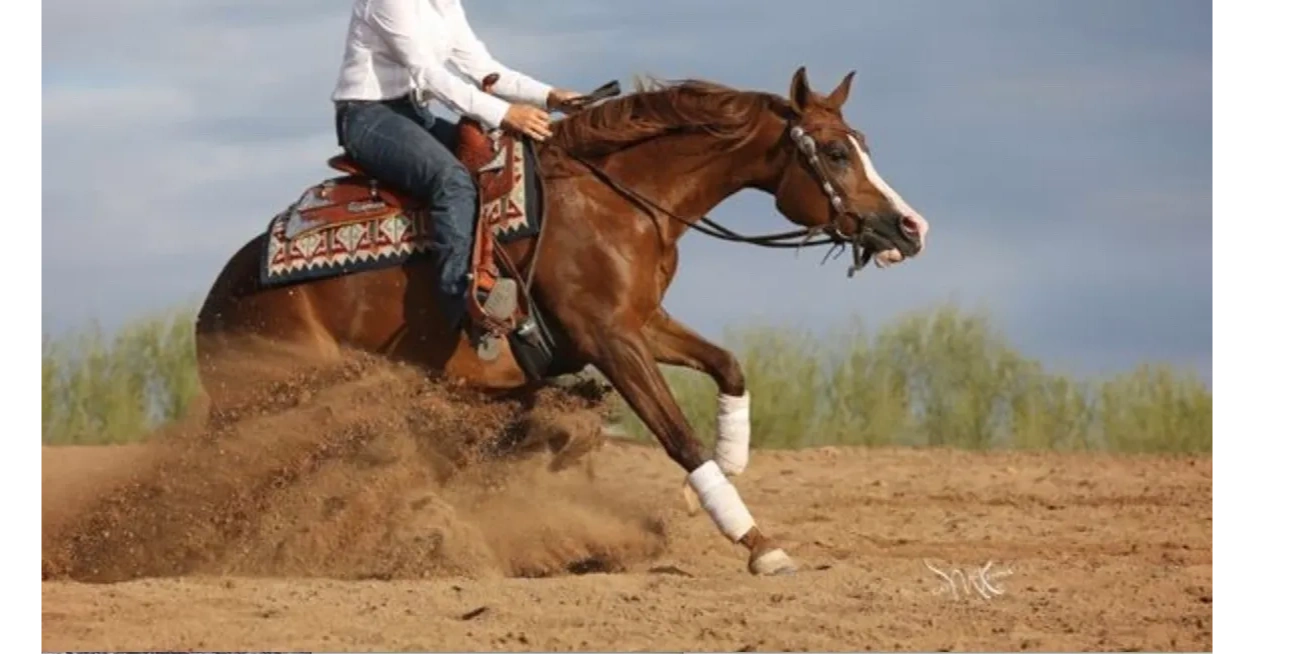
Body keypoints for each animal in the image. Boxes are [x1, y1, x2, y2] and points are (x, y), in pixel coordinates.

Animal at [195, 66, 930, 576]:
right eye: (834, 153)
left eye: (860, 144)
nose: (910, 227)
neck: (618, 201)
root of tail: (215, 305)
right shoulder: (610, 339)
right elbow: (678, 436)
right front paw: (758, 544)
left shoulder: (640, 322)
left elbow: (729, 368)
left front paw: (713, 484)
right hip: (280, 403)